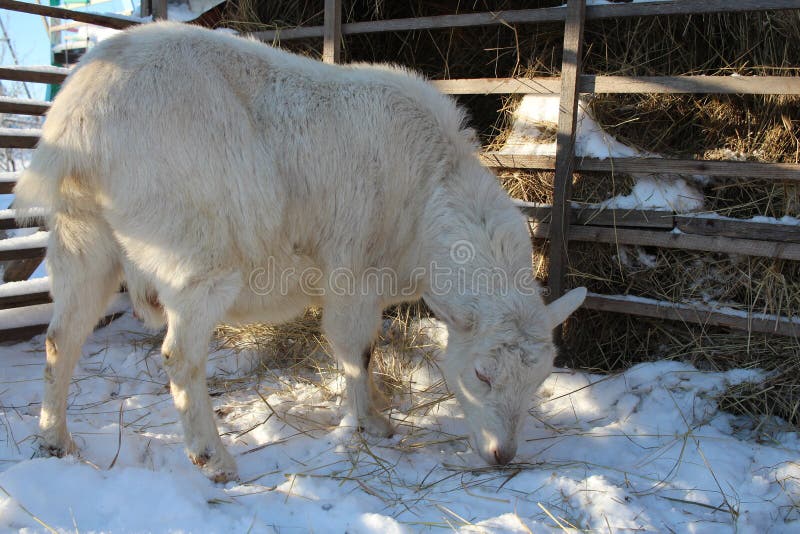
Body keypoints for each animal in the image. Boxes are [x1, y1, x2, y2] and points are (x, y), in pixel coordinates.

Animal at [15, 22, 586, 482]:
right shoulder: (353, 274)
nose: (503, 456)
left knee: (61, 339)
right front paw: (371, 422)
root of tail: (78, 114)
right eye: (482, 374)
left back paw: (54, 439)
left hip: (83, 236)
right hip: (194, 254)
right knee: (180, 356)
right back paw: (213, 459)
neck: (431, 191)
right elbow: (356, 351)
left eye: (539, 380)